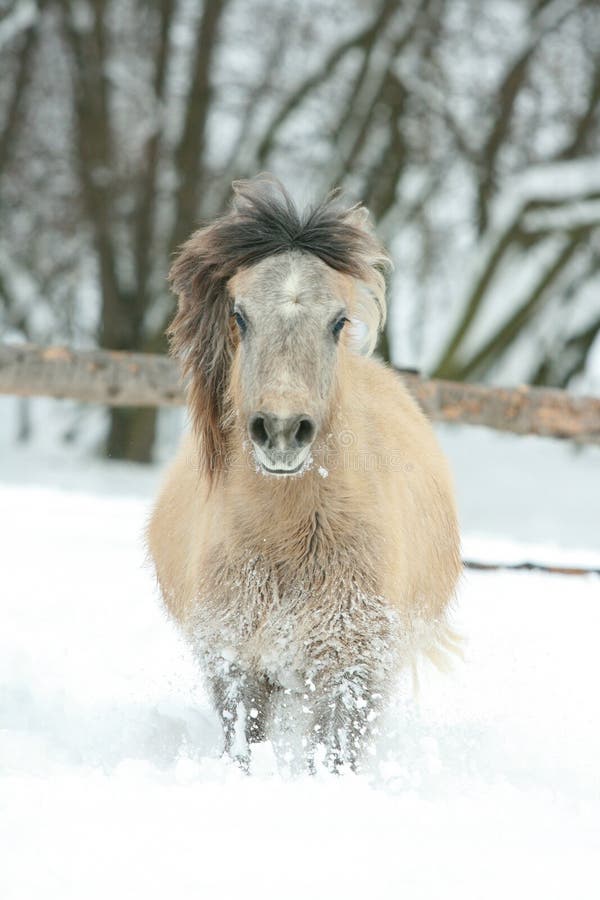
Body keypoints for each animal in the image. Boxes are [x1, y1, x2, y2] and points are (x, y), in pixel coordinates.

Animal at [147, 175, 461, 772]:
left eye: (337, 321)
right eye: (240, 315)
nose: (281, 429)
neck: (289, 545)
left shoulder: (350, 671)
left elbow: (333, 760)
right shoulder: (235, 663)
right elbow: (244, 750)